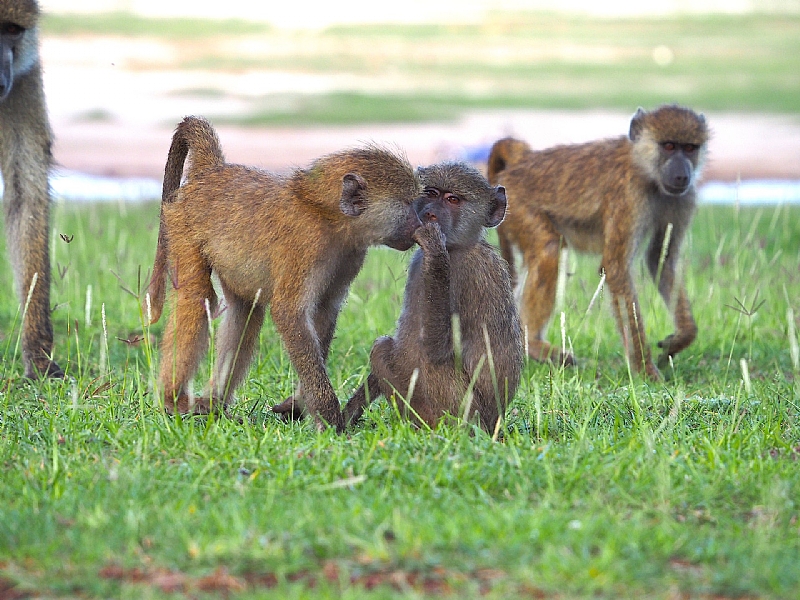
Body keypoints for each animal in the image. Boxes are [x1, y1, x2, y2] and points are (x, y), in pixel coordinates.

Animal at [147, 116, 422, 431]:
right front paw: (329, 419)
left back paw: (214, 403)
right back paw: (174, 400)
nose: (421, 224)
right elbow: (290, 314)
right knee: (196, 298)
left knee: (244, 310)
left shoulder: (350, 255)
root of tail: (211, 171)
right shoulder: (305, 247)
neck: (329, 216)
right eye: (409, 205)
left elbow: (323, 312)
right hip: (182, 225)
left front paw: (298, 405)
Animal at [342, 162, 523, 432]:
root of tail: (492, 425)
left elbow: (437, 349)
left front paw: (435, 249)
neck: (458, 248)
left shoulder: (467, 274)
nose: (430, 215)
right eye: (431, 193)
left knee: (390, 351)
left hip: (459, 412)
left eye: (453, 199)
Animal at [487, 104, 709, 380]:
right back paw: (533, 343)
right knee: (549, 249)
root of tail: (518, 165)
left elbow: (661, 259)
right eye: (668, 146)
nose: (681, 175)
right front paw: (645, 370)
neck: (646, 172)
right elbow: (616, 267)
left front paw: (682, 337)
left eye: (689, 148)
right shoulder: (629, 195)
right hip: (517, 204)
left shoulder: (682, 198)